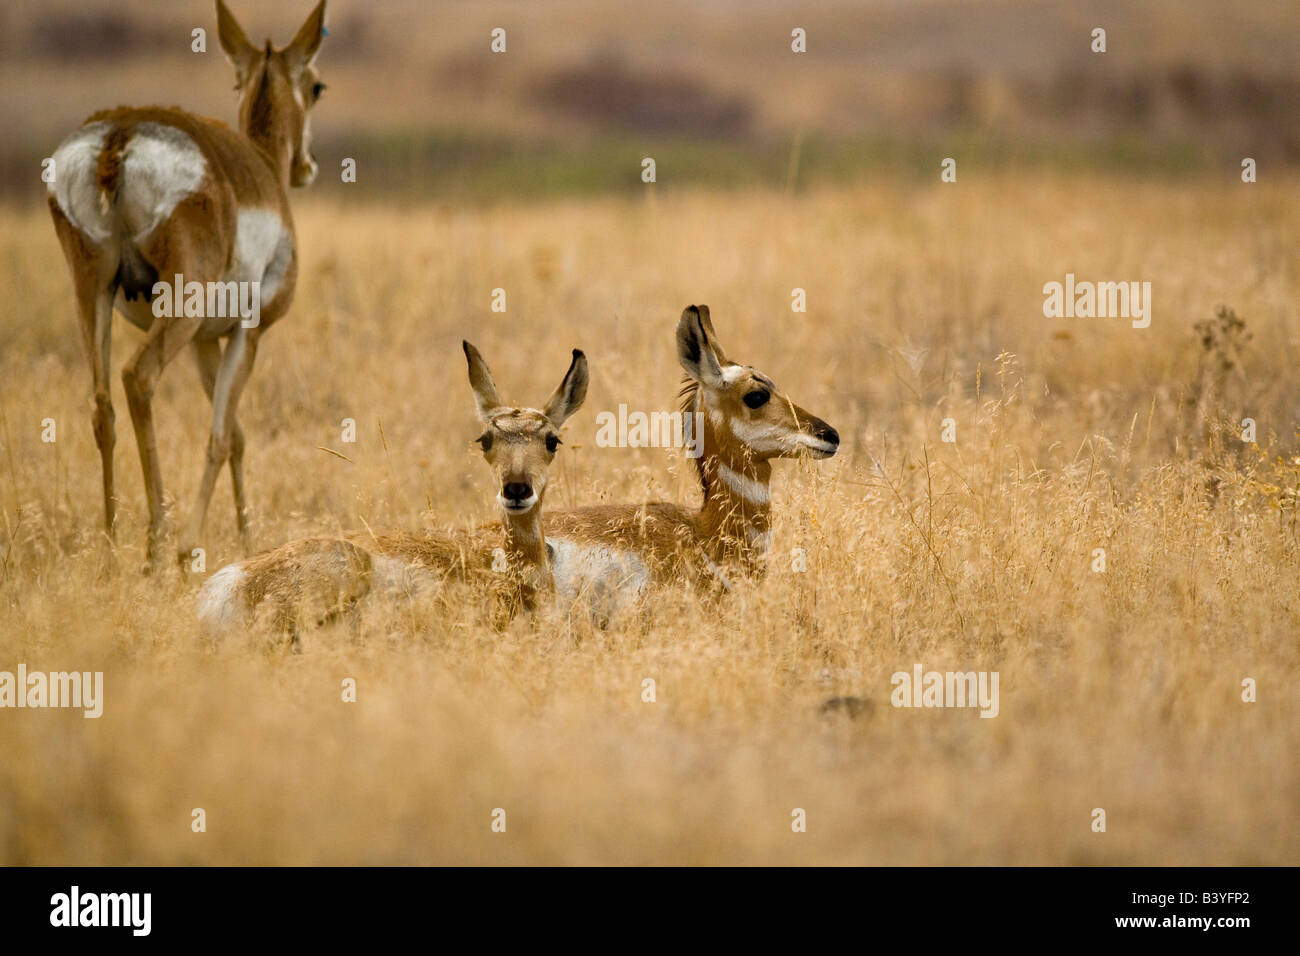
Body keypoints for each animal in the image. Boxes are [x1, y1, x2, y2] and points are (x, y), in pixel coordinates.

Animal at [46, 0, 327, 570]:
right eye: (316, 86)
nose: (306, 168)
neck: (260, 169)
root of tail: (119, 135)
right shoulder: (246, 334)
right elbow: (222, 435)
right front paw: (194, 545)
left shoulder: (205, 343)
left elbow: (236, 435)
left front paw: (246, 537)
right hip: (180, 309)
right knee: (138, 377)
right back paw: (158, 543)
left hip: (92, 293)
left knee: (102, 406)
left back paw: (109, 546)